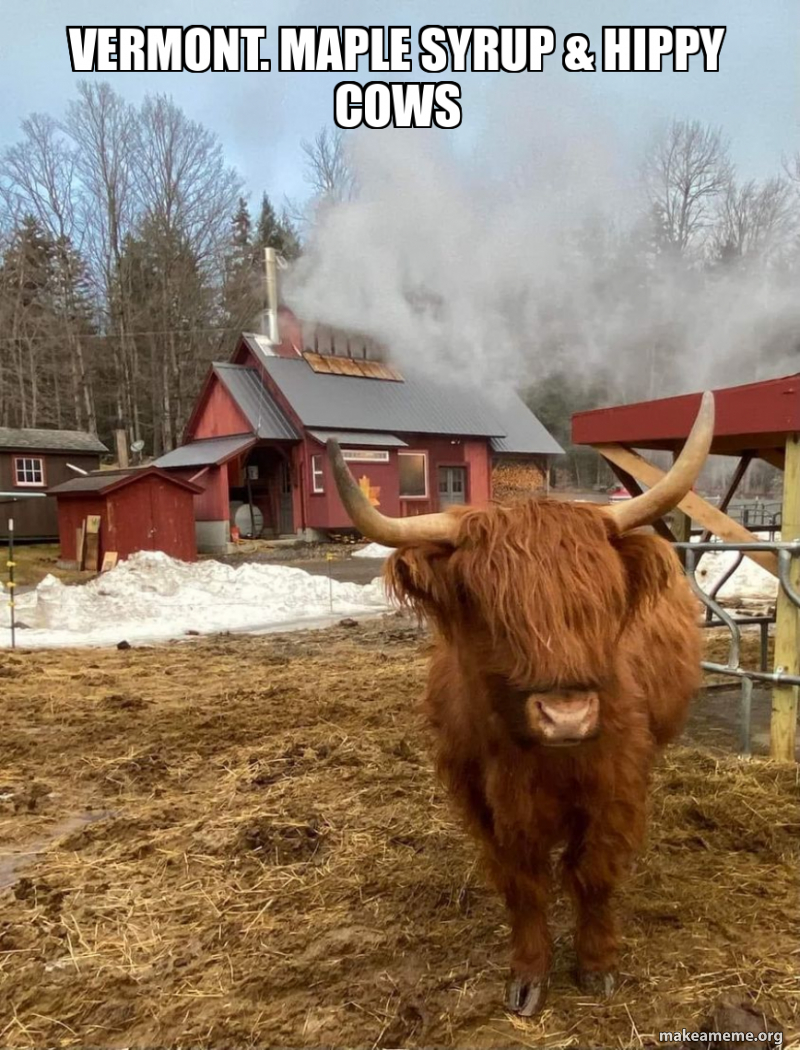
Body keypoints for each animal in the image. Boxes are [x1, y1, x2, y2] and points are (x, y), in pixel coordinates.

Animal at [326, 392, 713, 1016]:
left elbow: (594, 874)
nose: (567, 716)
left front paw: (596, 965)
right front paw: (530, 975)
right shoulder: (486, 804)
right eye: (488, 609)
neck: (536, 759)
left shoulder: (615, 784)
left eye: (602, 602)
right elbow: (523, 885)